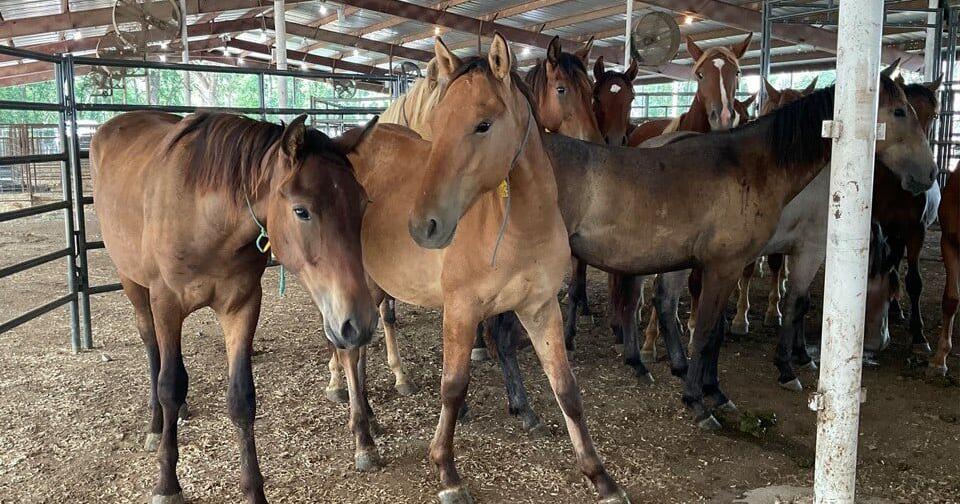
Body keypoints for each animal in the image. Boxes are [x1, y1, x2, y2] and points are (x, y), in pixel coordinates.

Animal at [89, 111, 378, 503]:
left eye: (362, 204)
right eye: (301, 211)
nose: (359, 323)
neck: (204, 217)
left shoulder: (242, 305)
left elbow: (241, 399)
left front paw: (254, 490)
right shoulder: (165, 303)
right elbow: (169, 385)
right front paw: (167, 483)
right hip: (132, 283)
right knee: (152, 349)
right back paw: (156, 423)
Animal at [347, 35, 630, 504]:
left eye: (483, 124)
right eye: (438, 120)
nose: (423, 226)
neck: (517, 226)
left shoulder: (540, 308)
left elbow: (566, 389)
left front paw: (600, 477)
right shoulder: (461, 311)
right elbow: (453, 387)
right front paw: (447, 472)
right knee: (349, 350)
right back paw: (363, 439)